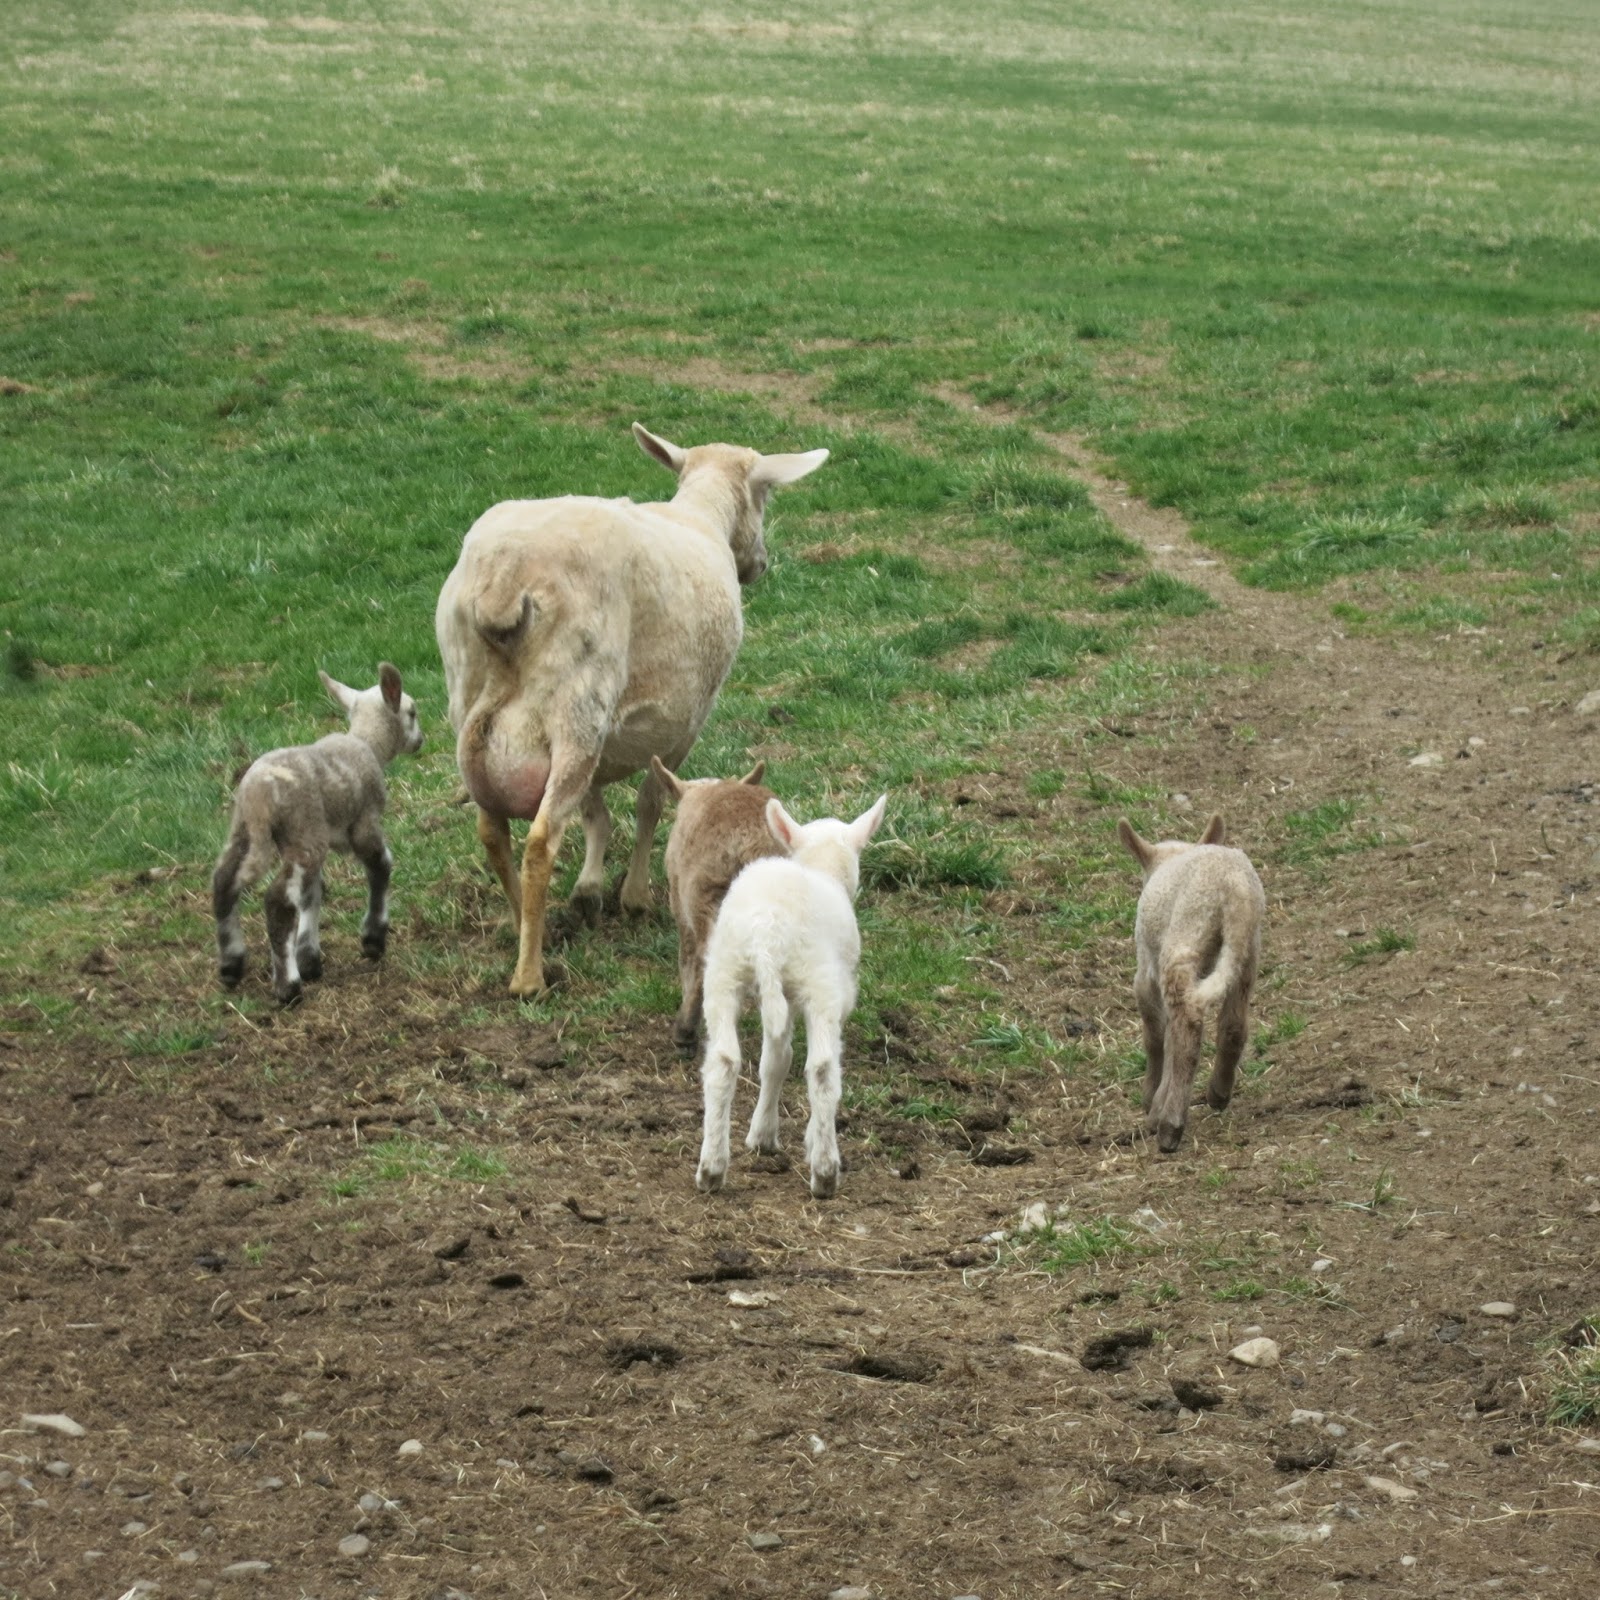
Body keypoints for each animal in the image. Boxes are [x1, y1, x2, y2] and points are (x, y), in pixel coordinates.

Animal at [212, 664, 423, 1005]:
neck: (368, 743)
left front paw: (309, 957)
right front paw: (373, 938)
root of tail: (259, 798)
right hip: (303, 833)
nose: (420, 741)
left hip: (245, 831)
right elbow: (381, 866)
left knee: (224, 883)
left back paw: (232, 964)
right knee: (278, 901)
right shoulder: (364, 823)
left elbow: (313, 893)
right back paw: (288, 986)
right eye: (412, 712)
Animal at [435, 423, 828, 999]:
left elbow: (595, 811)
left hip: (476, 705)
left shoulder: (606, 738)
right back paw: (530, 976)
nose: (760, 565)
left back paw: (523, 923)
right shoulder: (688, 717)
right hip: (577, 702)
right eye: (765, 495)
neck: (700, 514)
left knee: (492, 830)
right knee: (540, 841)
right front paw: (636, 896)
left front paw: (589, 888)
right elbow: (651, 801)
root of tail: (505, 583)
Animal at [649, 755, 784, 1054]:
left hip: (706, 897)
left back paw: (686, 1029)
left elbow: (687, 960)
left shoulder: (682, 904)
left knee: (706, 961)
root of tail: (754, 842)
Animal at [695, 793, 887, 1199]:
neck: (823, 869)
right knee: (823, 1069)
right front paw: (803, 1141)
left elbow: (775, 1060)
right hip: (819, 982)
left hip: (724, 971)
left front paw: (762, 1135)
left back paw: (712, 1168)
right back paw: (825, 1171)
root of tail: (767, 929)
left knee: (723, 1062)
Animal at [1116, 813, 1266, 1153]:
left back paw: (1170, 1126)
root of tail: (1234, 888)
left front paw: (1151, 1098)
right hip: (1245, 951)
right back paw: (1218, 1093)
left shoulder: (1146, 972)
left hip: (1185, 938)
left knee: (1187, 1024)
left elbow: (1156, 1036)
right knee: (1233, 1025)